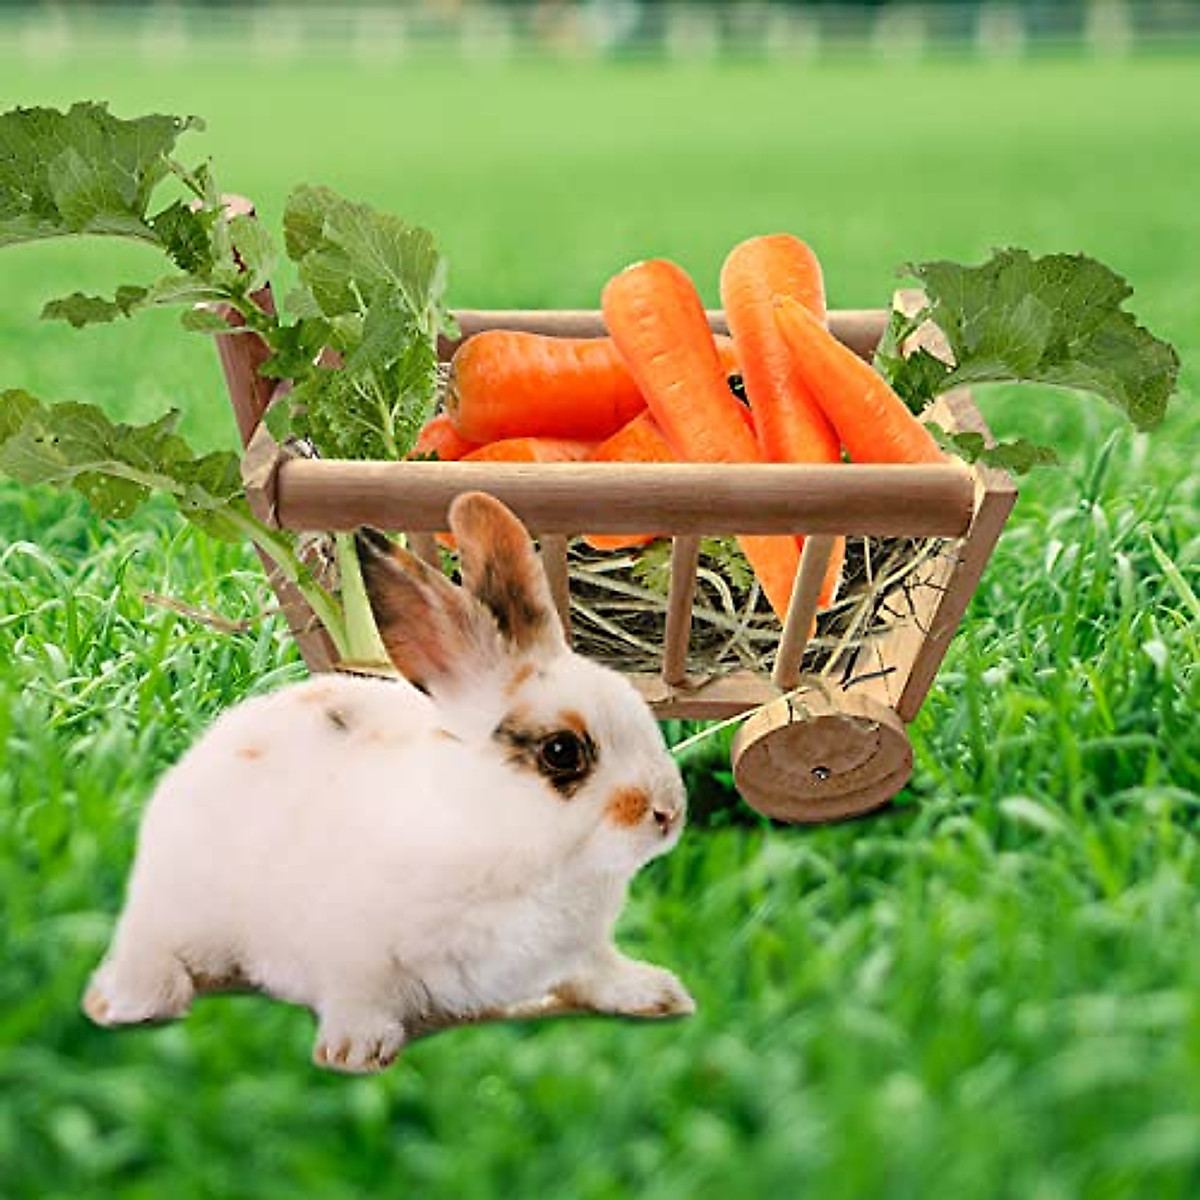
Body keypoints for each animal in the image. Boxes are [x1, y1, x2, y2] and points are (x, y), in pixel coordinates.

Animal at [82, 491, 694, 1072]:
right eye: (562, 752)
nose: (668, 812)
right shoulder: (353, 950)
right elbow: (360, 993)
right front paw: (356, 1050)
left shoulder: (581, 950)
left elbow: (597, 970)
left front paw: (659, 994)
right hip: (184, 908)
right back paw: (131, 1000)